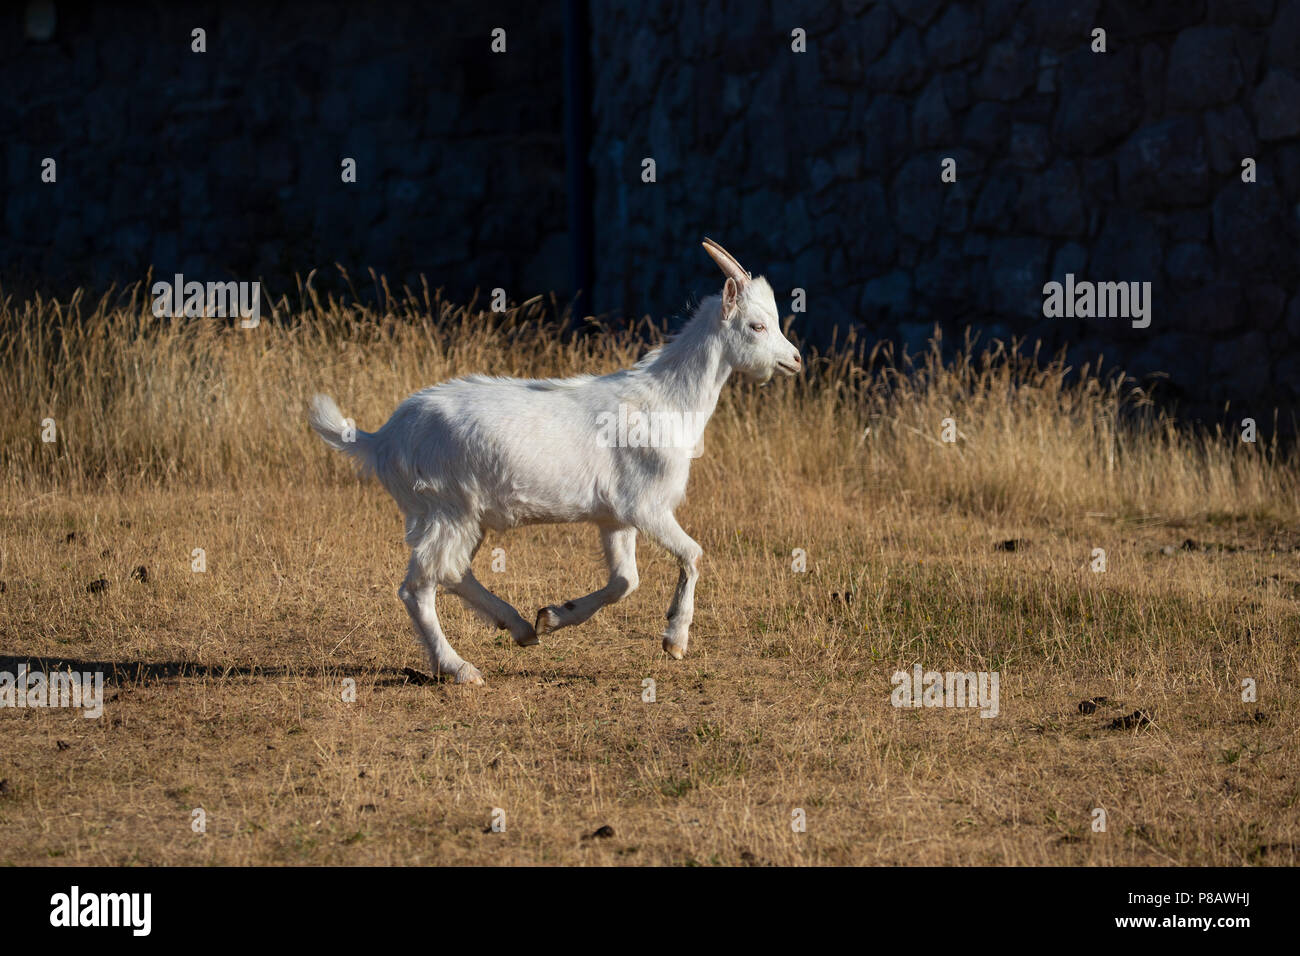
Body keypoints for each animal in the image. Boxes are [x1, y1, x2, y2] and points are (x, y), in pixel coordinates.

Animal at [308, 239, 801, 685]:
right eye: (757, 325)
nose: (794, 359)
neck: (666, 400)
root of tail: (382, 438)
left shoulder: (615, 517)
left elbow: (625, 581)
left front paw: (553, 616)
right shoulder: (647, 506)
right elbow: (693, 554)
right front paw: (675, 640)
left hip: (462, 516)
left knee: (452, 572)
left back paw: (519, 627)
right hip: (445, 509)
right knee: (420, 586)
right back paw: (460, 668)